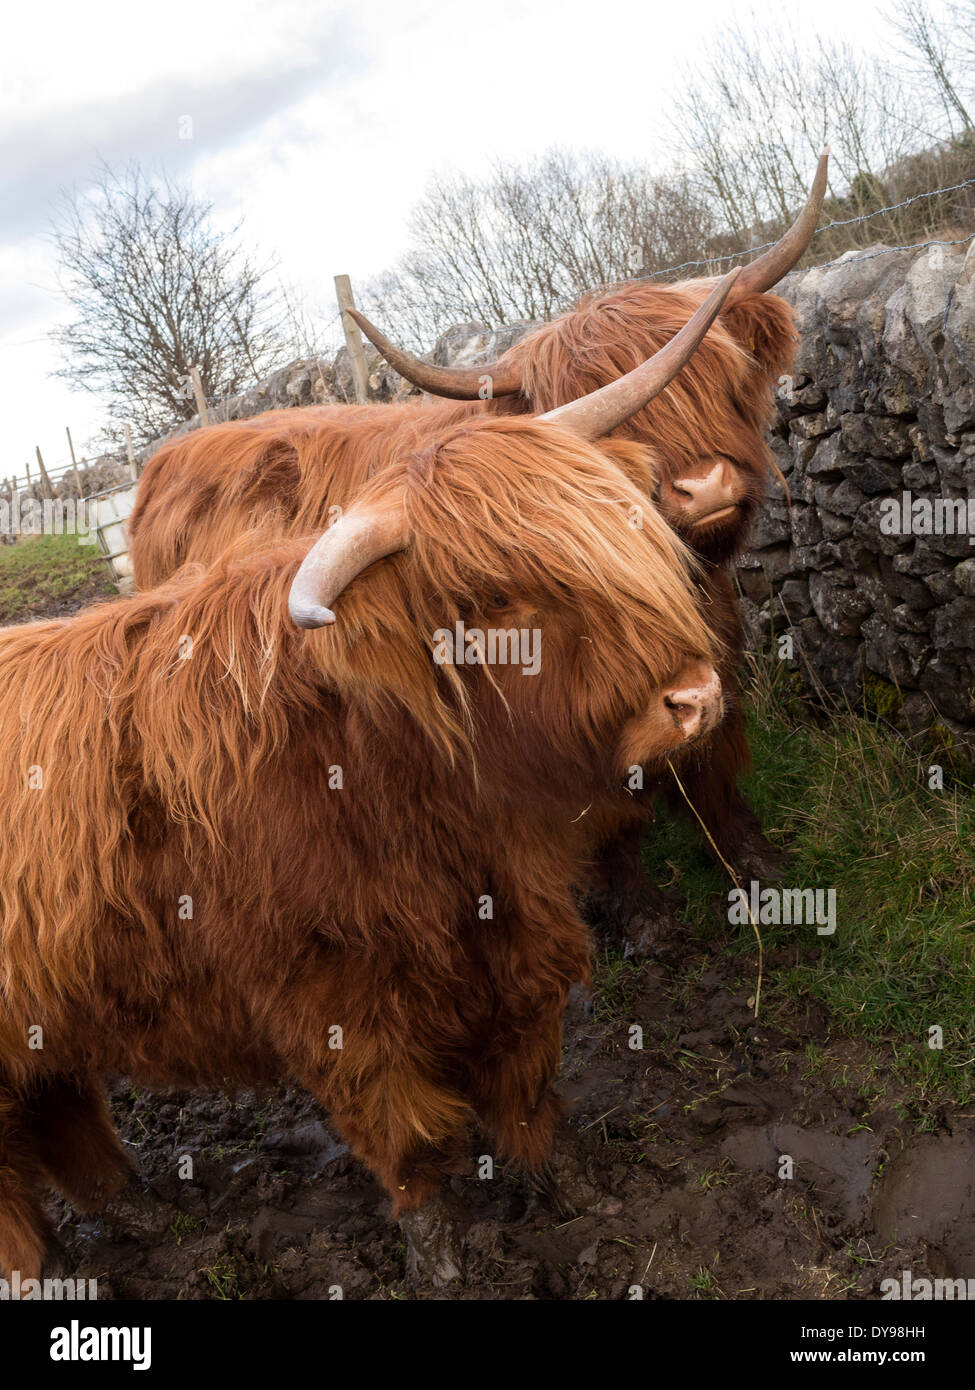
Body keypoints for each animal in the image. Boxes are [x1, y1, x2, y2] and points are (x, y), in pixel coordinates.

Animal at [0, 362, 725, 1284]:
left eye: (606, 528)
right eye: (493, 600)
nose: (693, 699)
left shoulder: (517, 934)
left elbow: (527, 1087)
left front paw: (579, 1191)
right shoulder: (334, 999)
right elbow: (400, 1135)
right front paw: (443, 1263)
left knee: (60, 1115)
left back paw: (143, 1213)